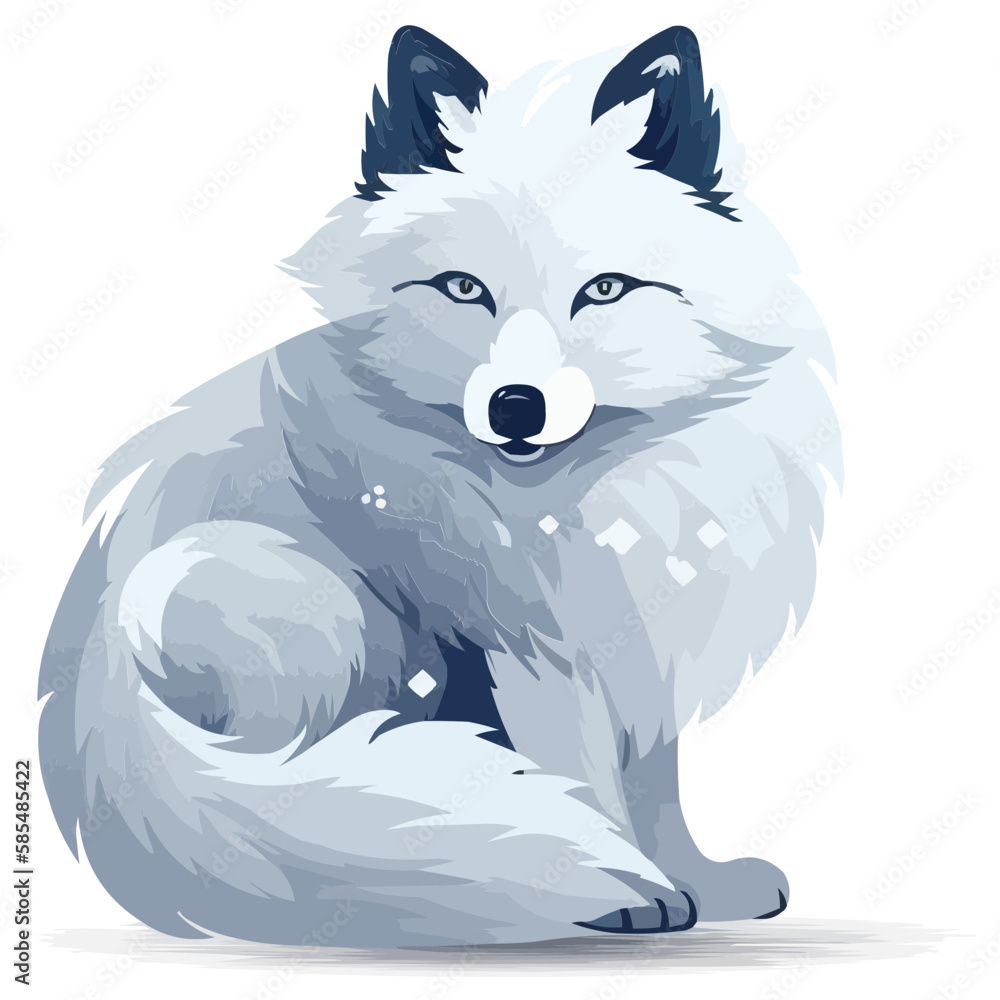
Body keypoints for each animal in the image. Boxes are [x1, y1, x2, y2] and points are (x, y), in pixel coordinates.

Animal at [38, 24, 840, 947]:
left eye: (605, 290)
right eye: (464, 290)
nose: (516, 406)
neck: (583, 502)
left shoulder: (641, 640)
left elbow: (656, 788)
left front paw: (698, 883)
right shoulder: (533, 652)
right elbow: (587, 777)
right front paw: (625, 886)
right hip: (280, 598)